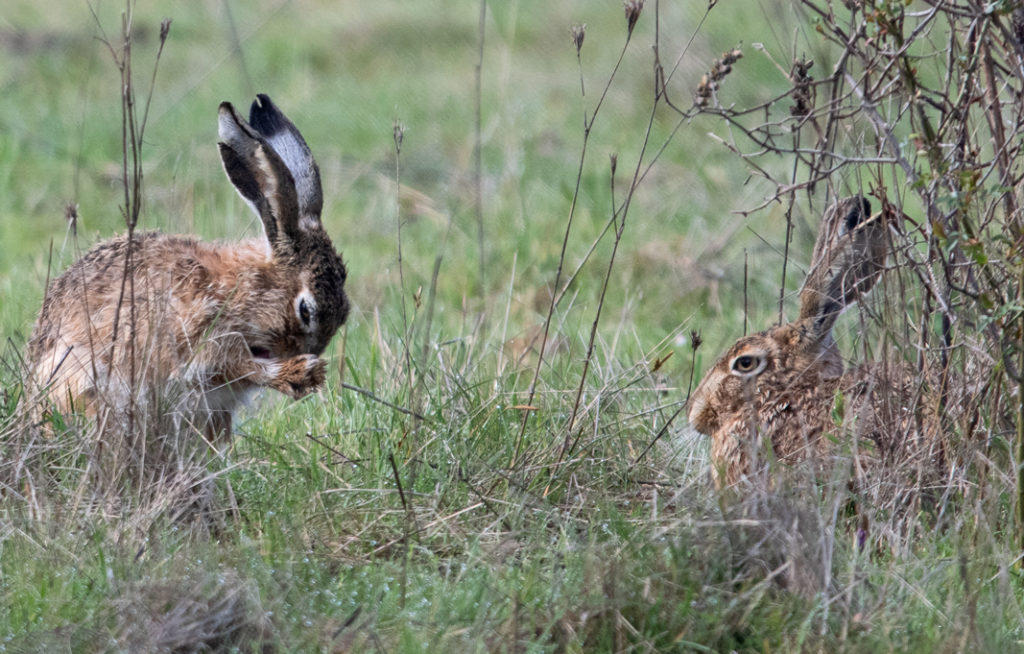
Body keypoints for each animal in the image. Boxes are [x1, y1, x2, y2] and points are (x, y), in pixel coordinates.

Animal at [26, 94, 349, 441]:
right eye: (305, 310)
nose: (311, 352)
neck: (244, 291)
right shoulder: (201, 339)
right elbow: (236, 368)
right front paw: (300, 373)